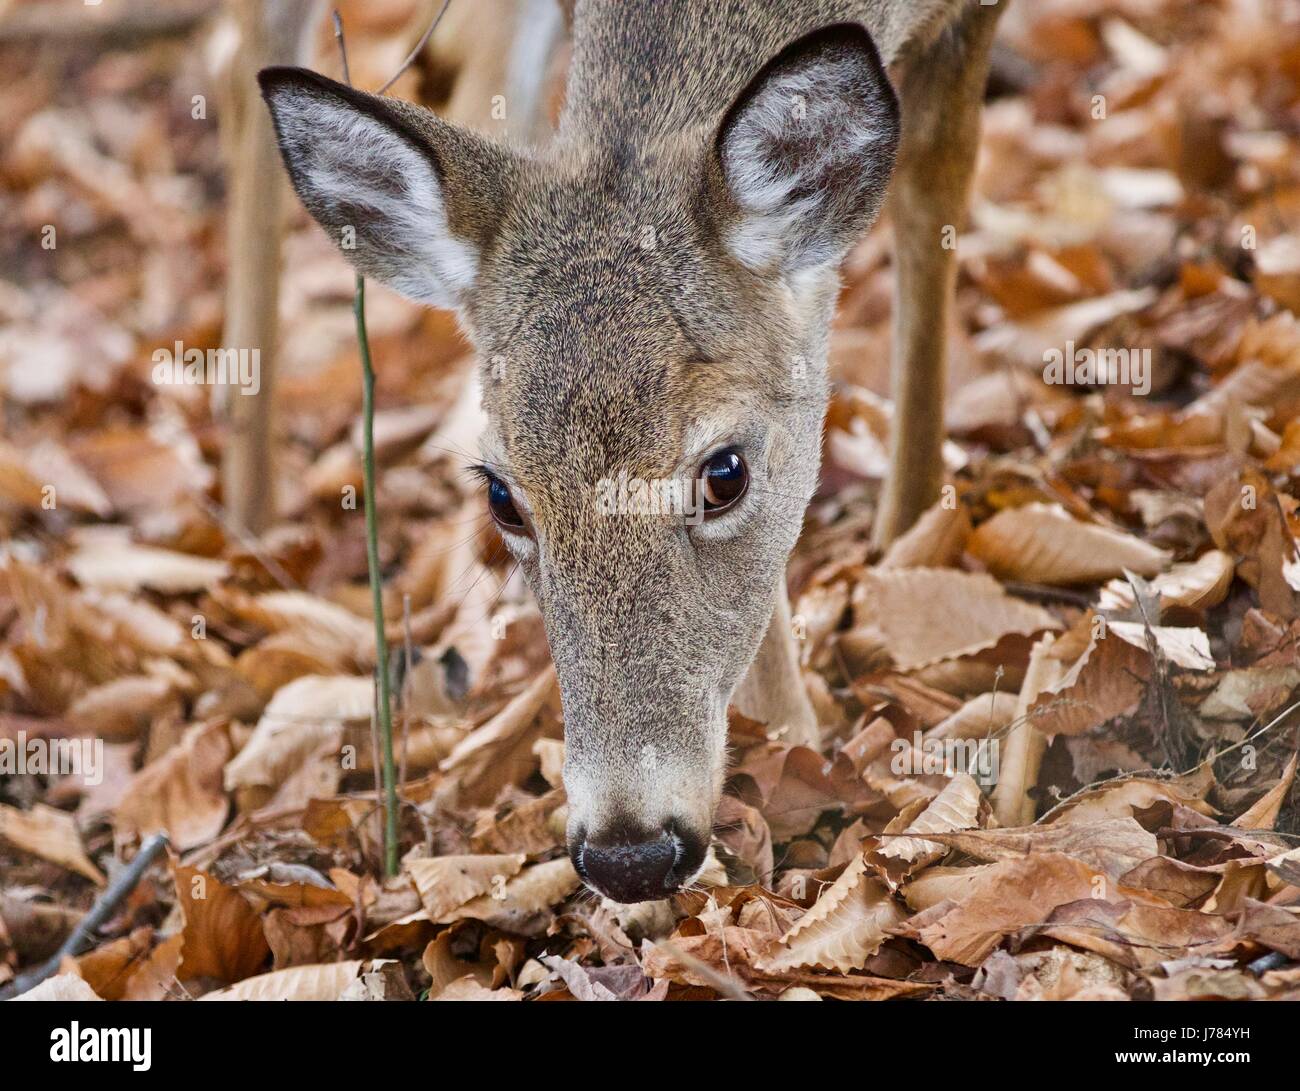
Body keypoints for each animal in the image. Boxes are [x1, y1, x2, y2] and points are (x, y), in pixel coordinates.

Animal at [259, 0, 1003, 904]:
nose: (631, 852)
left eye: (725, 473)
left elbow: (934, 172)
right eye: (502, 495)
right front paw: (789, 734)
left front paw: (909, 535)